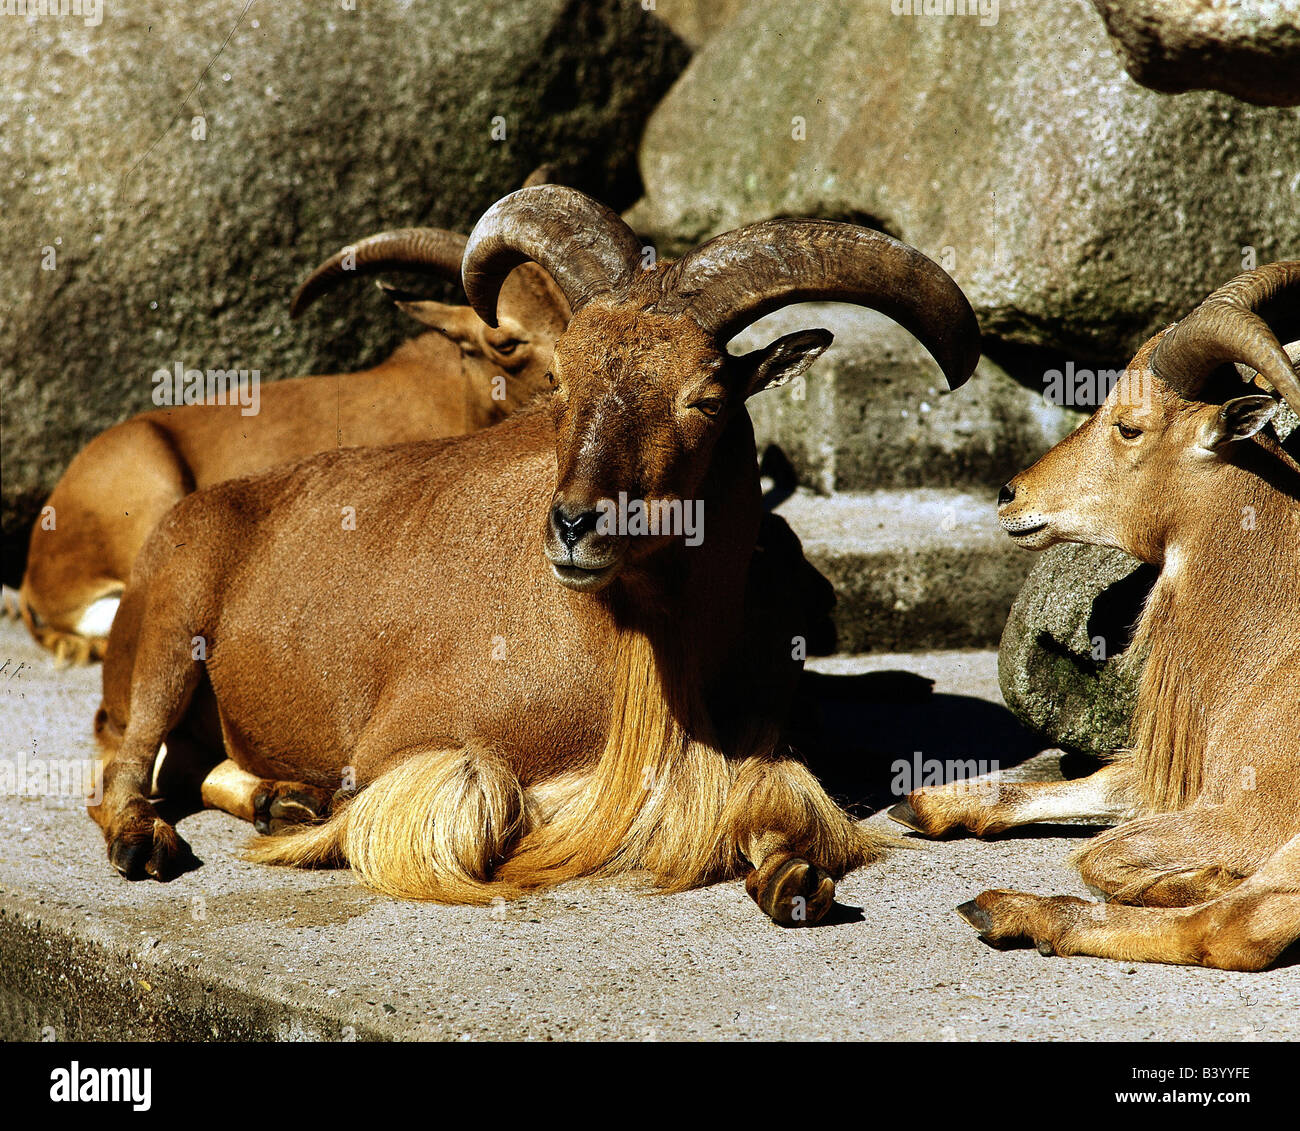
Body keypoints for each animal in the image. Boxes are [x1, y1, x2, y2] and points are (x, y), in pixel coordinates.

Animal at [89, 184, 981, 925]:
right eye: (562, 379)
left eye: (707, 397)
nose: (576, 526)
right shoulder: (409, 752)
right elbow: (492, 804)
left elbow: (773, 812)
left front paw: (792, 880)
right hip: (169, 631)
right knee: (124, 765)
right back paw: (150, 842)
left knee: (190, 762)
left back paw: (282, 799)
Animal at [890, 261, 1300, 968]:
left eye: (1129, 425)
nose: (1010, 495)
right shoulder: (1176, 780)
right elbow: (1087, 787)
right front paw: (922, 803)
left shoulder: (1245, 813)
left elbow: (1101, 857)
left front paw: (1199, 876)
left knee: (1235, 927)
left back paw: (1018, 911)